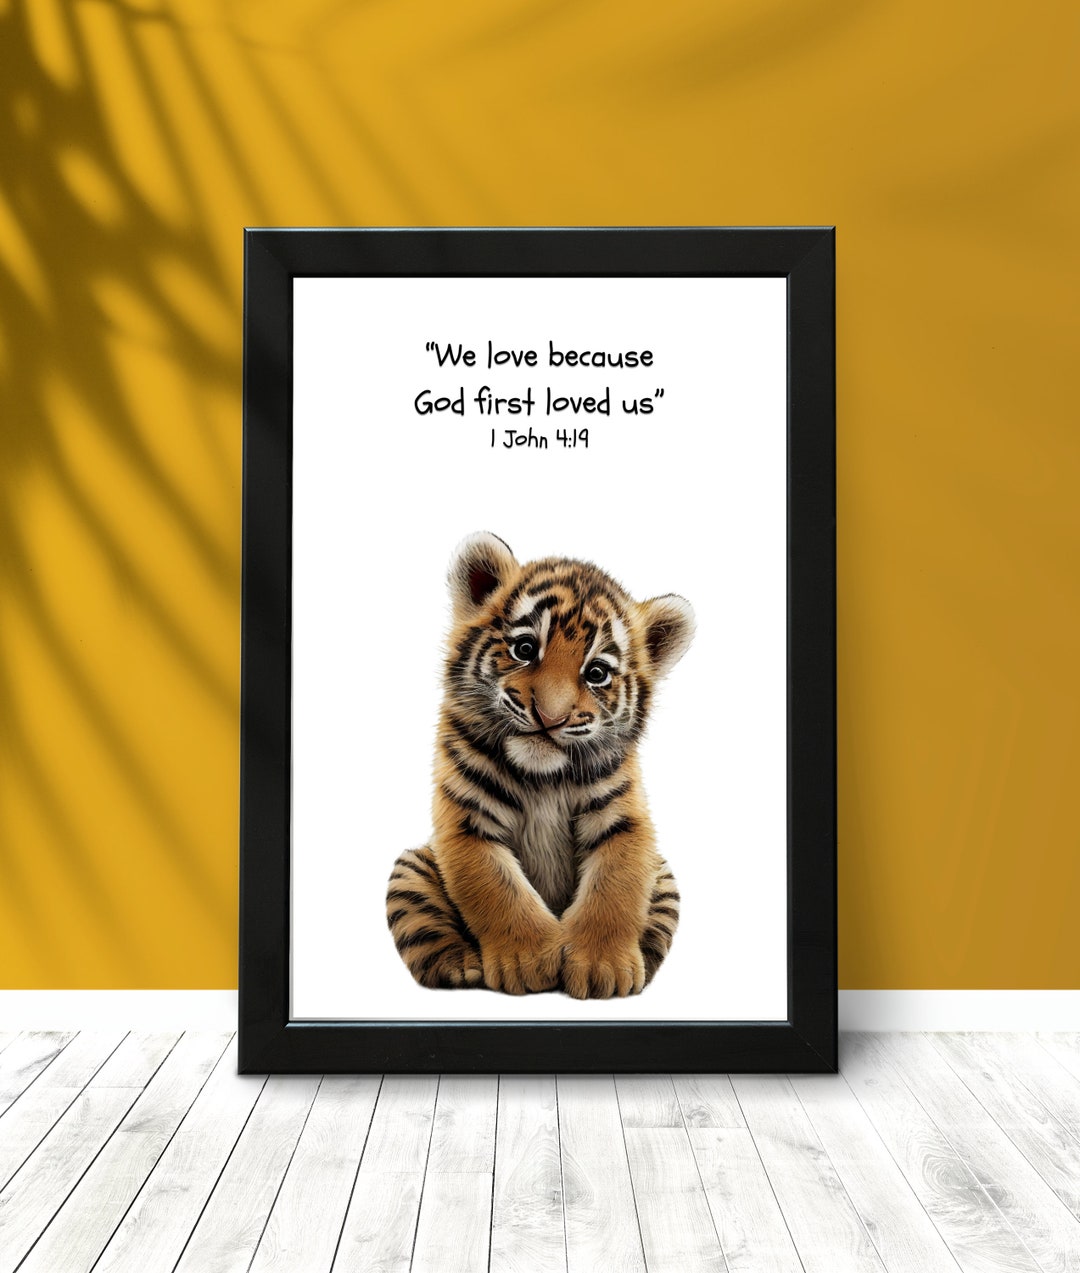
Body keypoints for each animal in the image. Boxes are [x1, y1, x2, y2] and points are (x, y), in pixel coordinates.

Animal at [386, 532, 694, 999]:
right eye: (525, 649)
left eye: (597, 673)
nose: (551, 717)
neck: (542, 776)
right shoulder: (466, 819)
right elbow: (497, 888)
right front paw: (527, 960)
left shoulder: (623, 817)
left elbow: (616, 886)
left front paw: (603, 966)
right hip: (411, 868)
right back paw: (461, 966)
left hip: (664, 876)